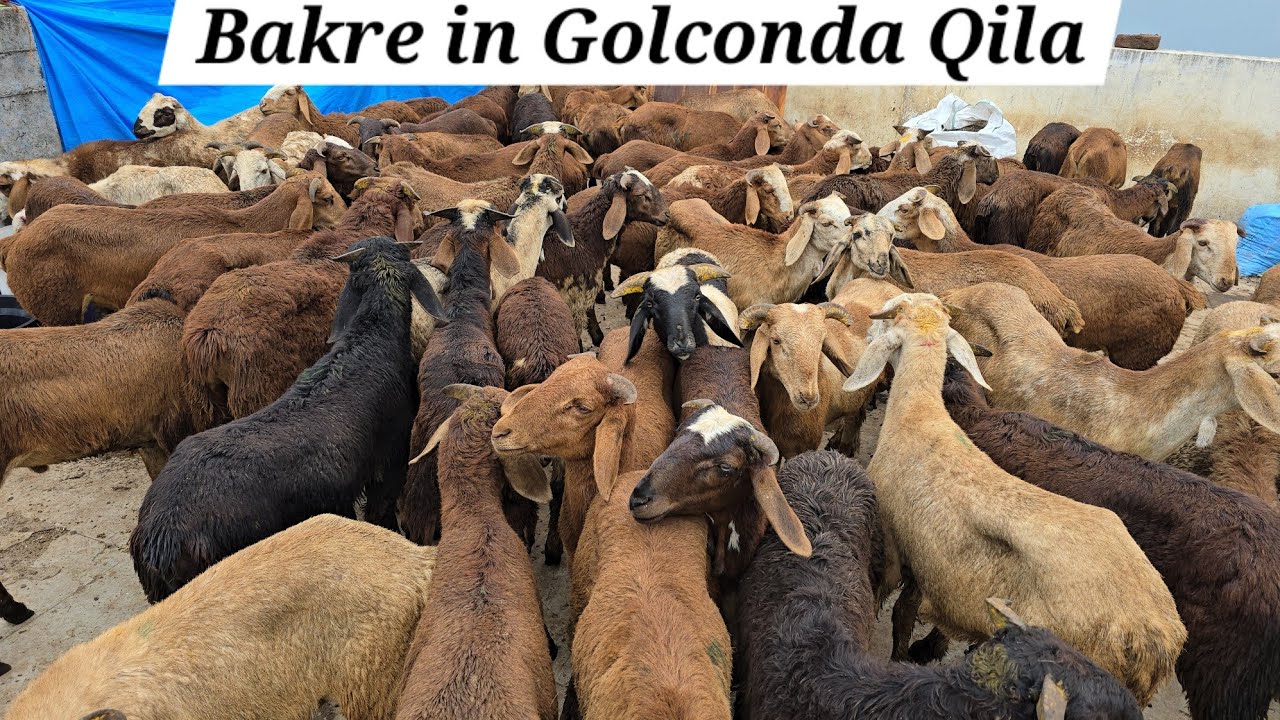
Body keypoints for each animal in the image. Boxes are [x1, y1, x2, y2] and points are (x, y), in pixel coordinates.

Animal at [841, 292, 1185, 704]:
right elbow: (907, 612)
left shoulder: (894, 547)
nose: (865, 332)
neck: (919, 414)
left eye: (887, 321)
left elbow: (895, 614)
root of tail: (1158, 640)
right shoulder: (929, 566)